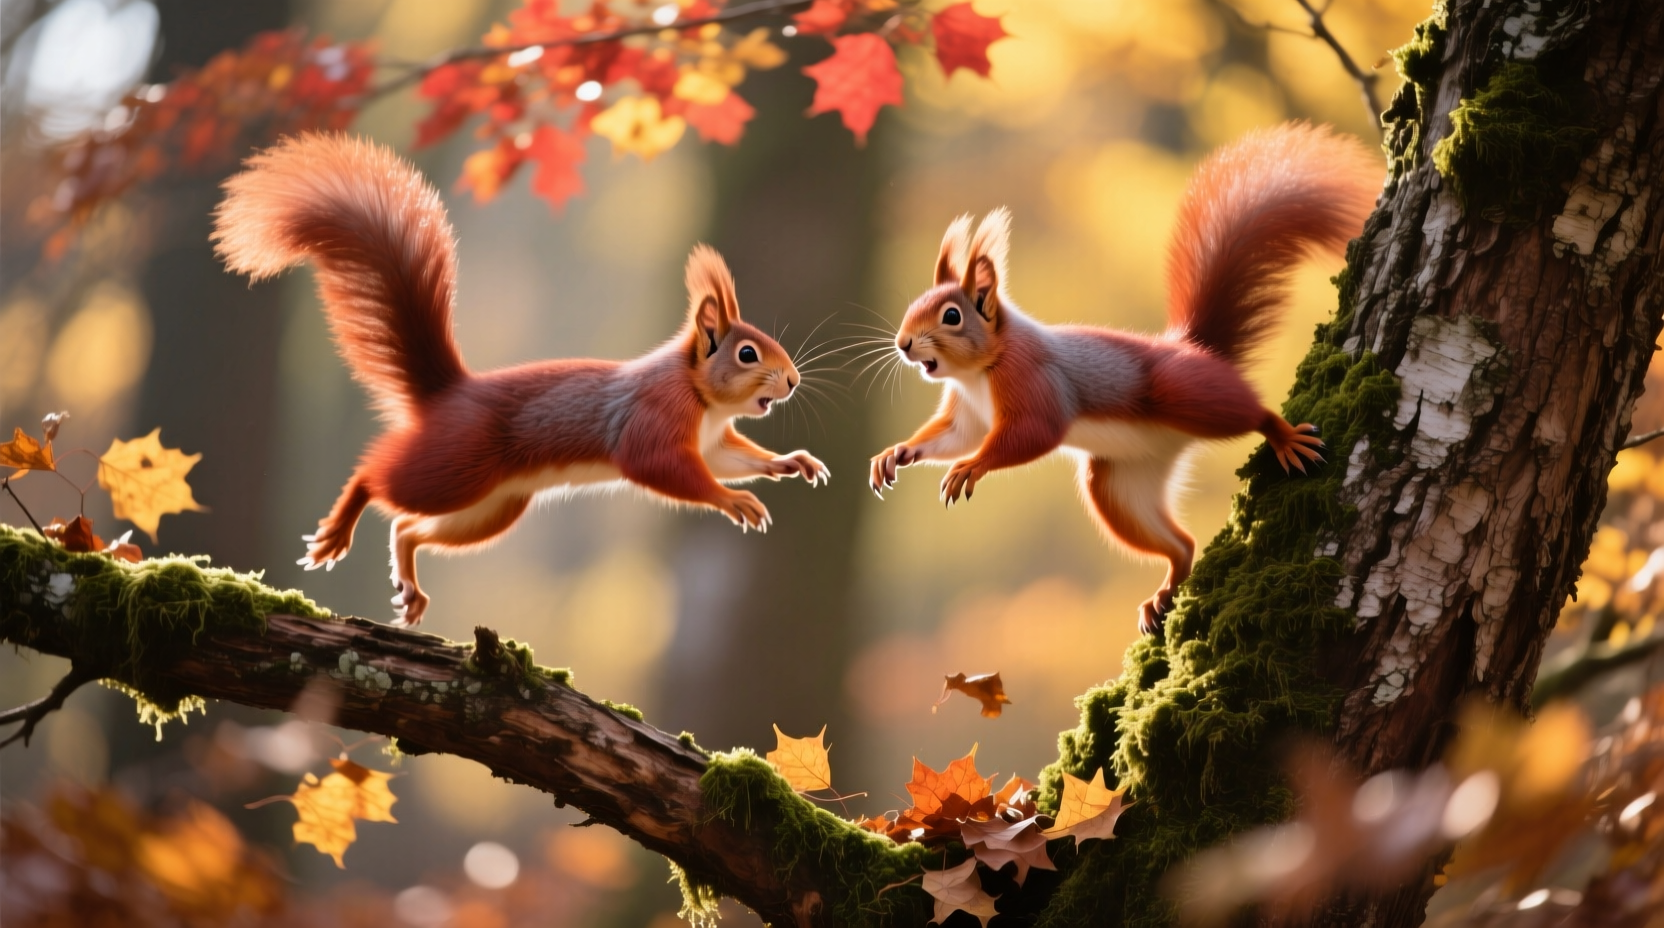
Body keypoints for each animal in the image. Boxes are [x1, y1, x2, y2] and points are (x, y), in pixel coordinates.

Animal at [213, 133, 828, 626]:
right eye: (747, 353)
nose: (793, 381)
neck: (703, 400)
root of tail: (449, 391)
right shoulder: (653, 419)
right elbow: (662, 467)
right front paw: (733, 500)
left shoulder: (713, 441)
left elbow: (733, 457)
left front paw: (790, 462)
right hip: (453, 466)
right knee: (375, 476)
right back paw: (340, 528)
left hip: (492, 506)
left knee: (408, 527)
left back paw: (409, 584)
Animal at [868, 122, 1379, 636]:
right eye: (916, 304)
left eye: (952, 316)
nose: (903, 343)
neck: (980, 372)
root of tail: (1195, 348)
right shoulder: (967, 413)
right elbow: (954, 436)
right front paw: (897, 453)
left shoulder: (1034, 380)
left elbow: (1034, 432)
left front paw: (971, 466)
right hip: (1119, 484)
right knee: (1182, 543)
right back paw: (1163, 592)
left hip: (1186, 392)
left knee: (1251, 412)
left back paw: (1284, 437)